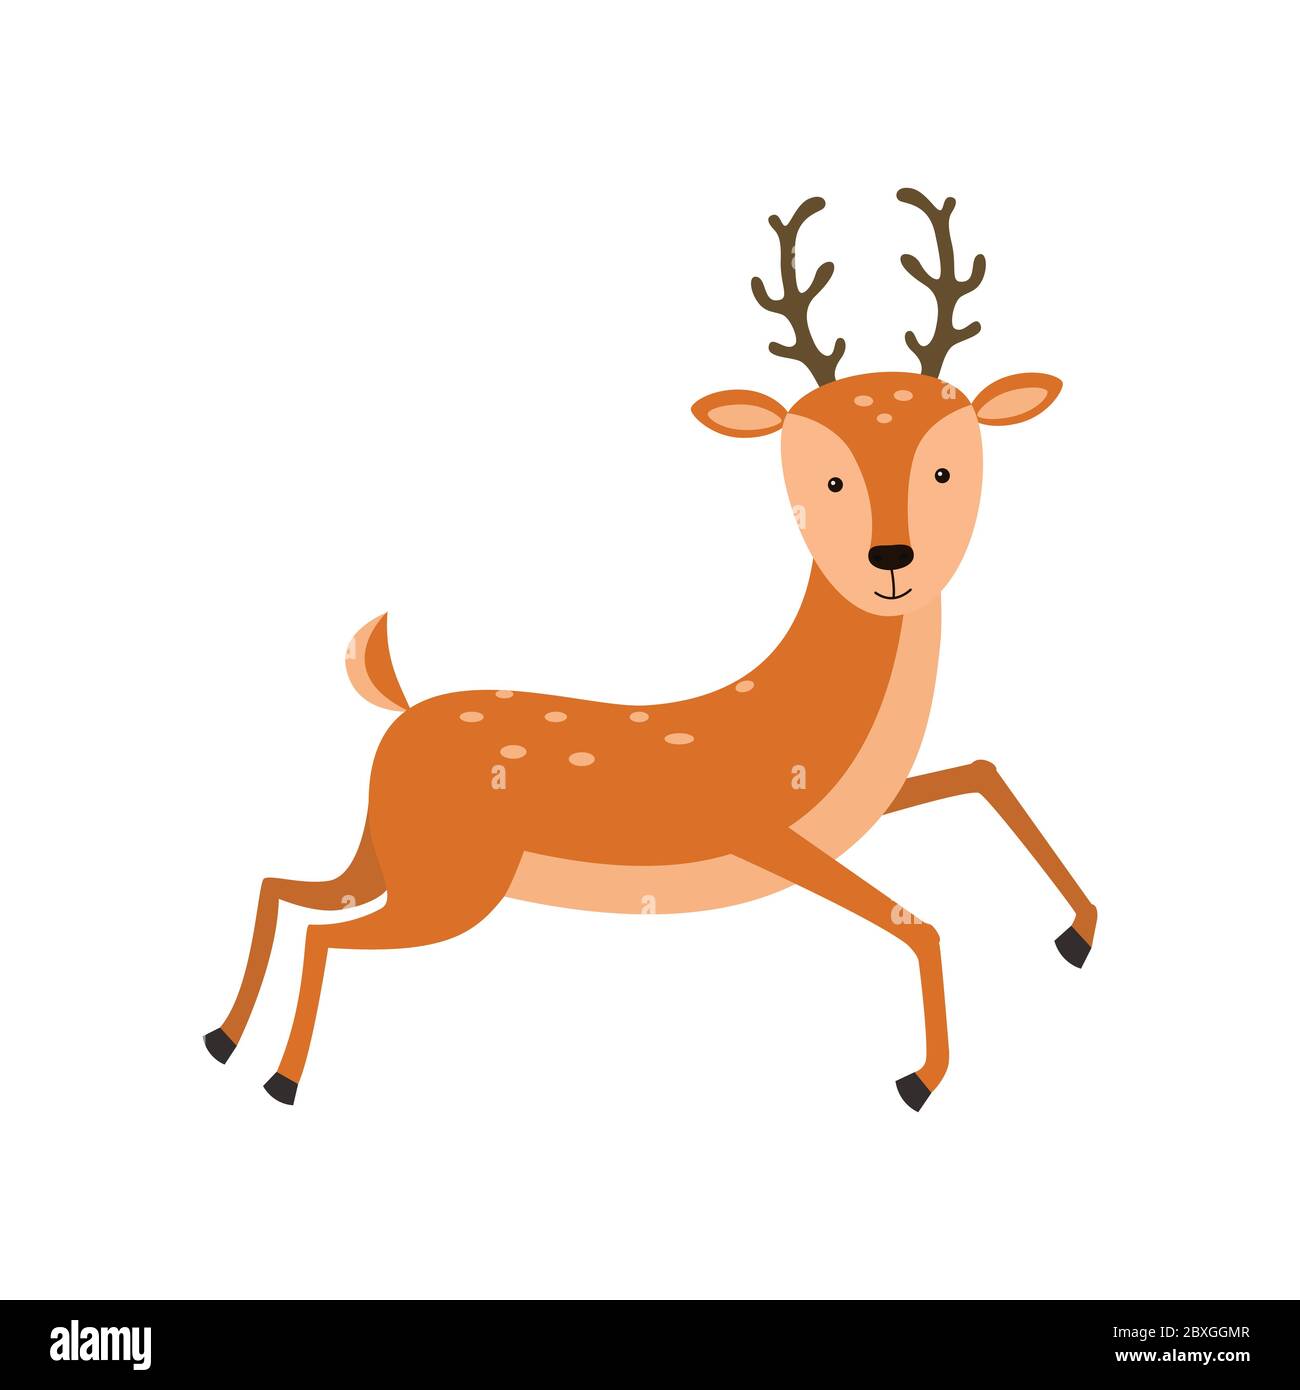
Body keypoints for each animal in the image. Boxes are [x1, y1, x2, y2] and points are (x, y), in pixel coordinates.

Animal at [204, 188, 1095, 1111]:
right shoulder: (766, 835)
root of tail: (400, 715)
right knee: (324, 930)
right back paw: (280, 1078)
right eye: (829, 477)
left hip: (391, 857)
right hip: (452, 882)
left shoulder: (860, 815)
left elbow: (985, 776)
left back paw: (222, 1039)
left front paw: (1080, 935)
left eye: (948, 468)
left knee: (286, 890)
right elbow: (922, 922)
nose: (894, 560)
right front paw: (918, 1079)